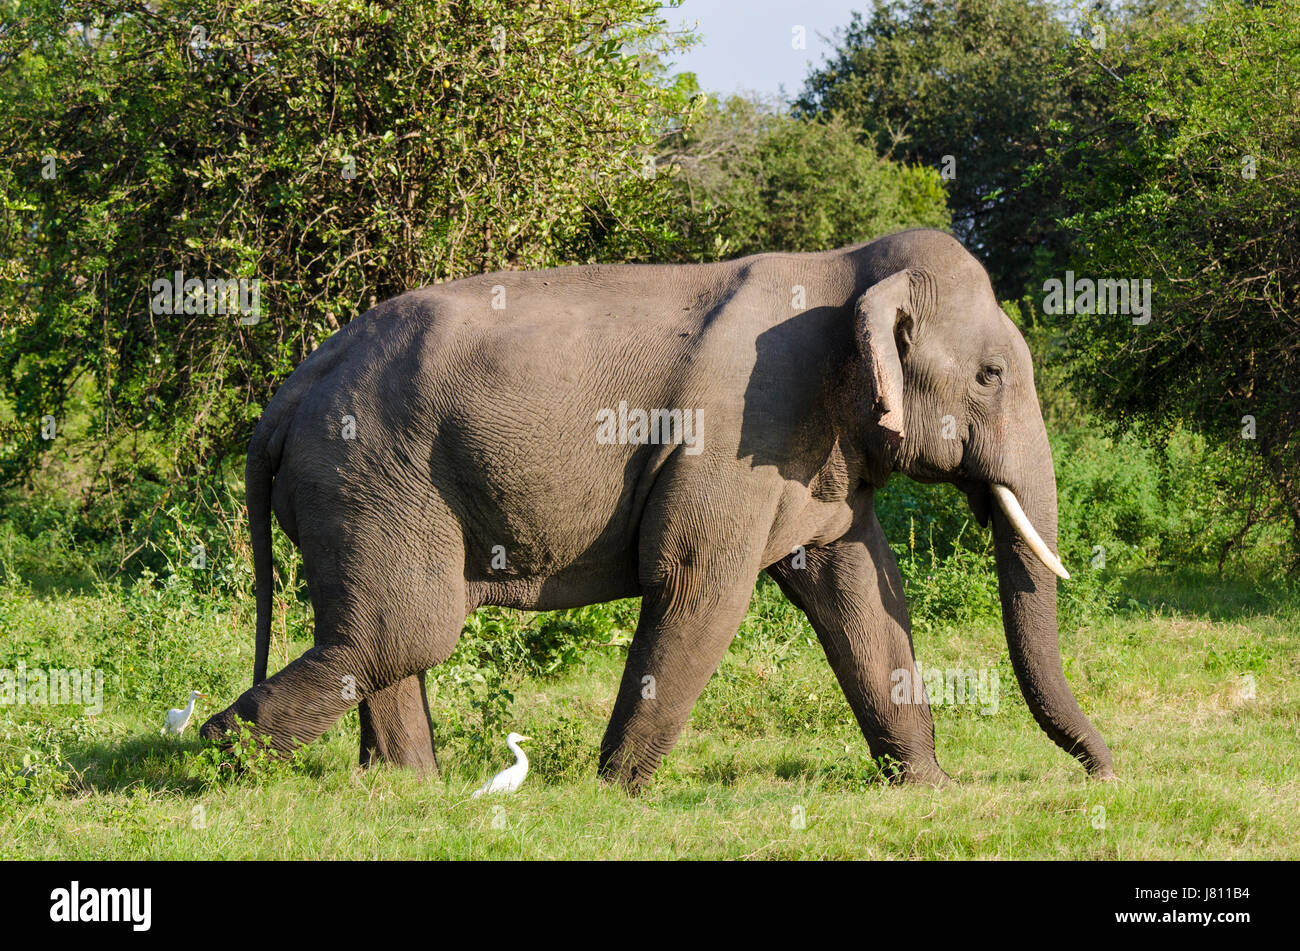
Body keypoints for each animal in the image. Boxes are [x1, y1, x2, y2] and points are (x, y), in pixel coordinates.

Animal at [201, 227, 1115, 789]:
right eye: (991, 376)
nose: (1107, 769)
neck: (846, 266)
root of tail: (286, 398)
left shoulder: (815, 458)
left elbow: (855, 585)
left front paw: (927, 787)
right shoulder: (741, 433)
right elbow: (699, 584)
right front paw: (613, 794)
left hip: (368, 487)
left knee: (385, 637)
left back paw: (404, 788)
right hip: (369, 474)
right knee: (403, 632)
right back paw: (209, 759)